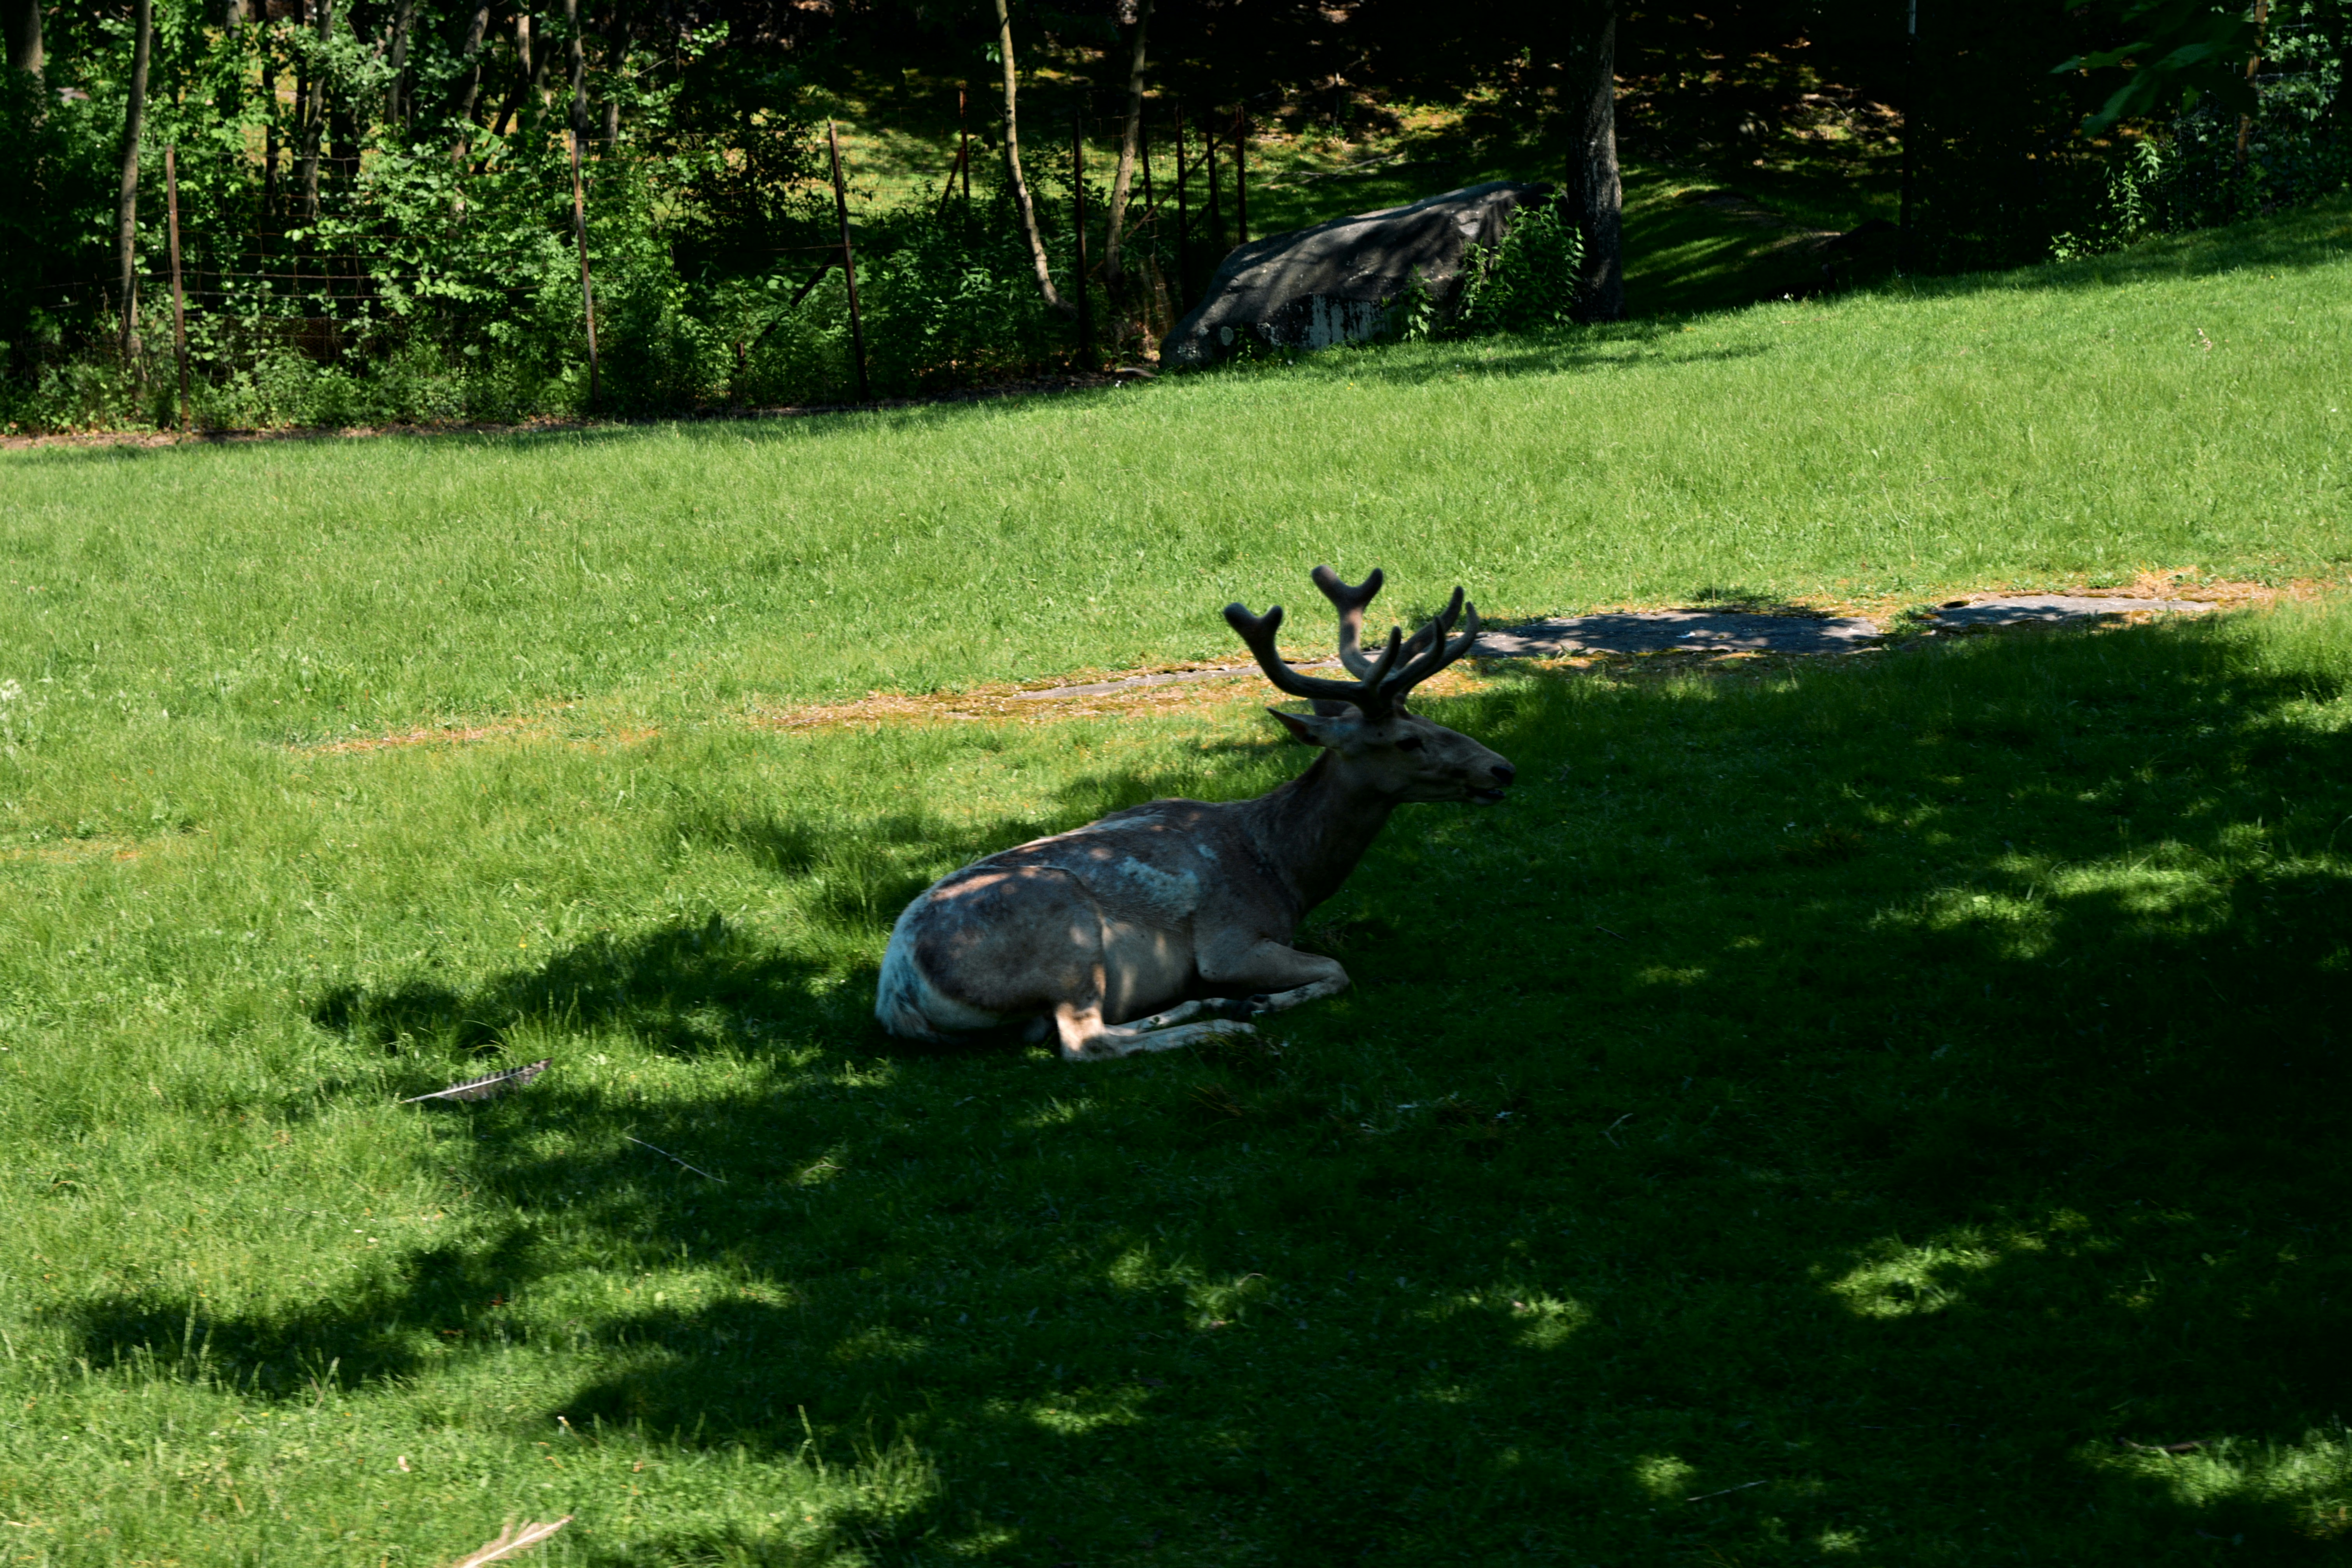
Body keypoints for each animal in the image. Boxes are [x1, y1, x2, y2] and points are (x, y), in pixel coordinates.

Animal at [874, 566, 1516, 1060]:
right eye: (1407, 740)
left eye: (1429, 717)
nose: (1501, 769)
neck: (1285, 872)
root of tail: (897, 992)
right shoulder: (1230, 940)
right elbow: (1337, 970)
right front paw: (1265, 1001)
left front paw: (1249, 999)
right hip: (1065, 934)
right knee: (1084, 1043)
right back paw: (1223, 1024)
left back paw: (1207, 1007)